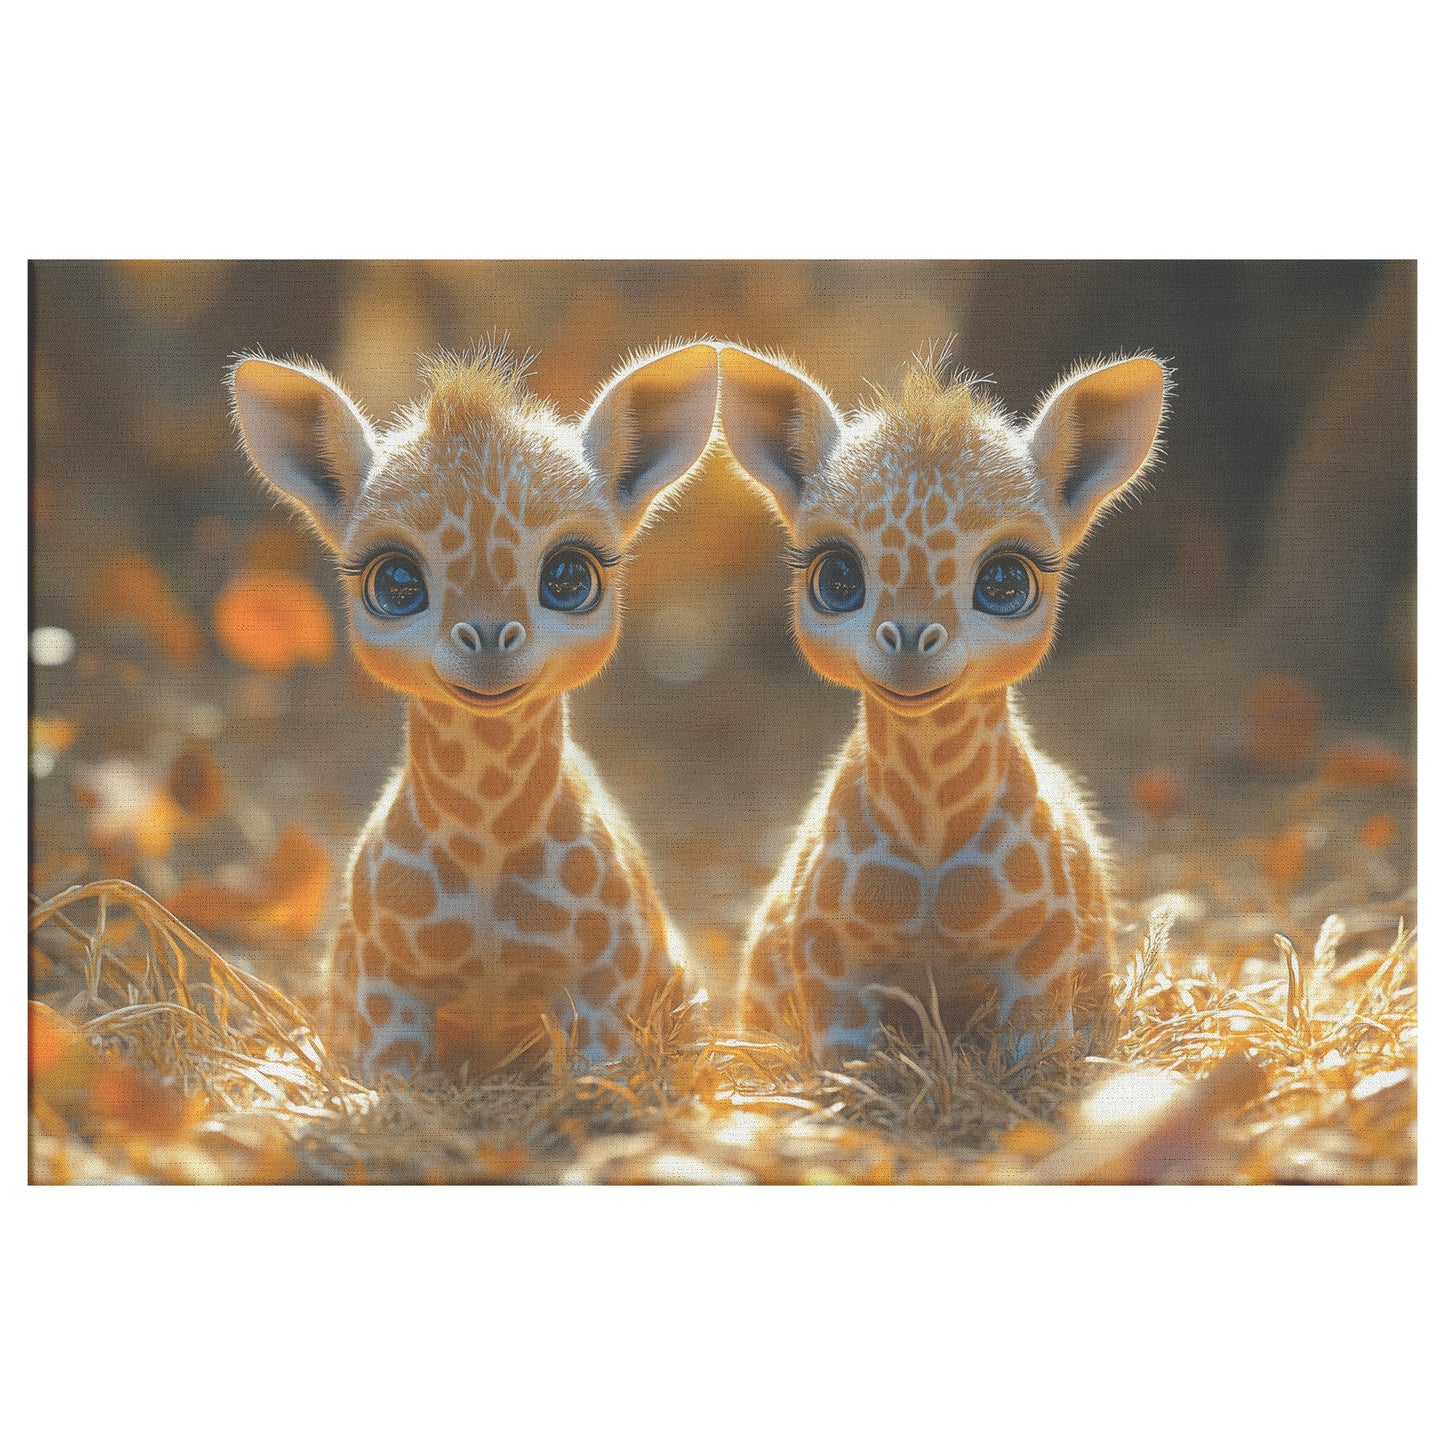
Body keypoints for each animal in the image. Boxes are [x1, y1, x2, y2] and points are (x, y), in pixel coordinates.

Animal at [227, 340, 720, 1079]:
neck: (487, 860)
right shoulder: (385, 985)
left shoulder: (605, 981)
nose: (487, 639)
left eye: (570, 574)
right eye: (394, 580)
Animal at [716, 343, 1169, 1060]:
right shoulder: (825, 951)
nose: (908, 639)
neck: (930, 839)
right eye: (836, 575)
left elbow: (1037, 1052)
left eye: (1007, 580)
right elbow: (845, 1062)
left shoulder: (1042, 948)